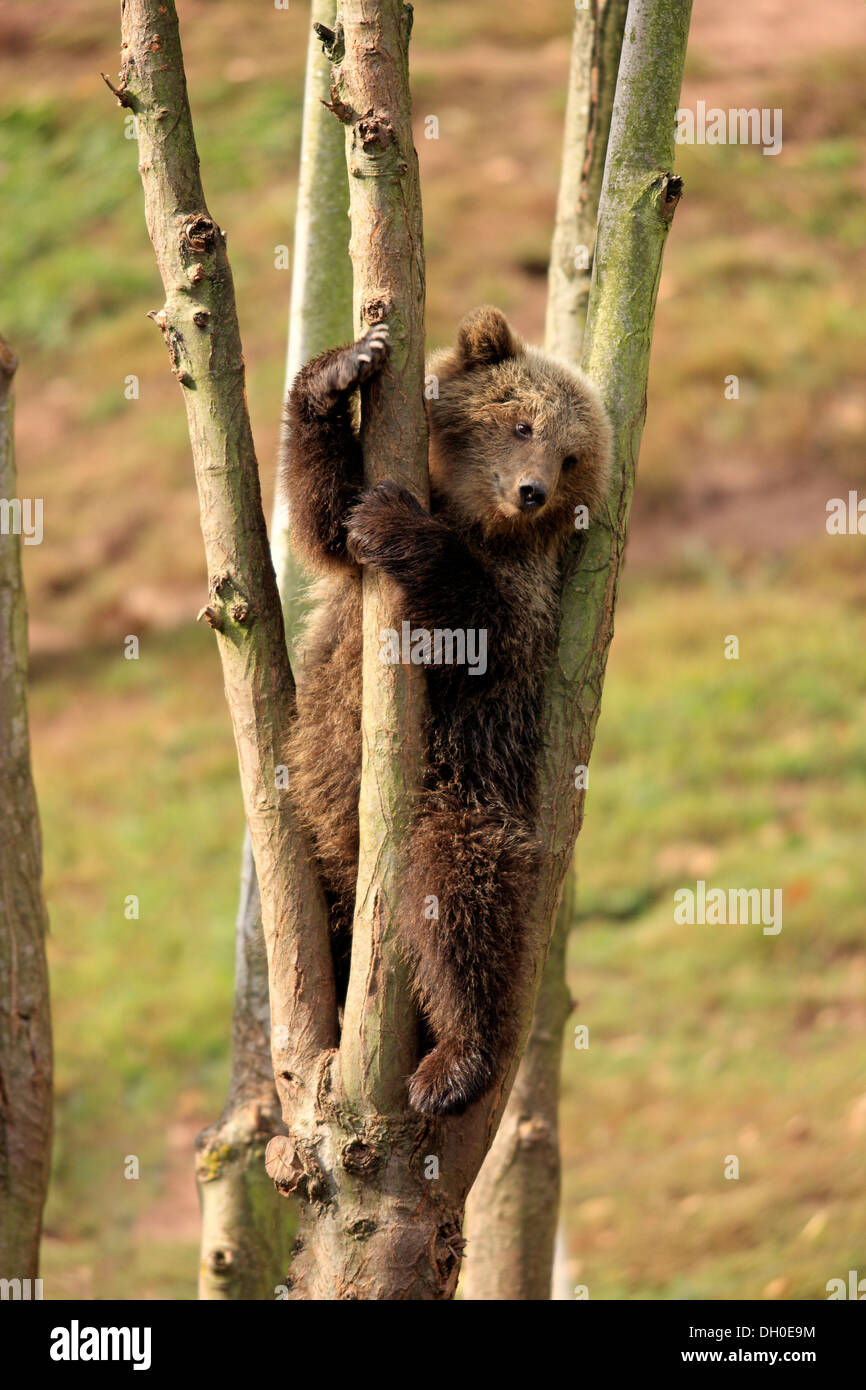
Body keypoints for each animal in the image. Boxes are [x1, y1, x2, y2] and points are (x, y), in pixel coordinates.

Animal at [282, 306, 612, 1116]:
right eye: (522, 423)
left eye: (570, 459)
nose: (530, 491)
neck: (471, 513)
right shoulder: (353, 570)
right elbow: (324, 517)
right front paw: (344, 368)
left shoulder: (526, 603)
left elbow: (474, 631)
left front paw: (398, 526)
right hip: (336, 857)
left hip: (464, 784)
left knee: (459, 888)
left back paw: (455, 1061)